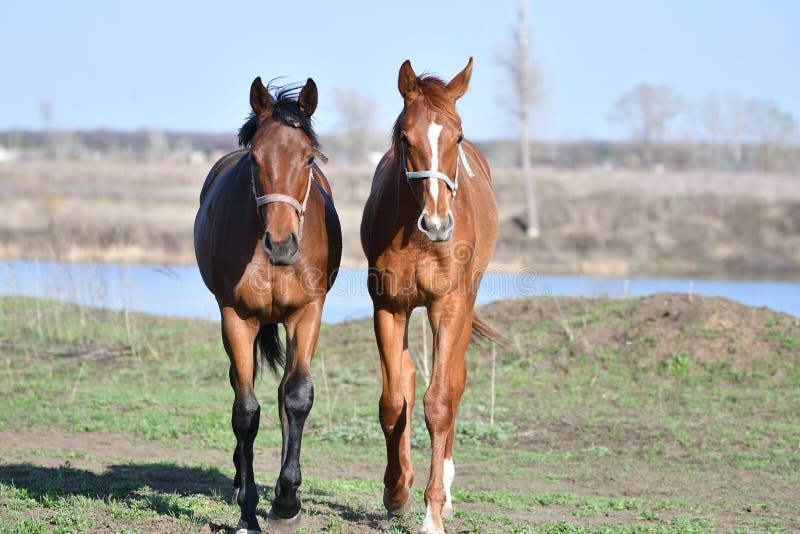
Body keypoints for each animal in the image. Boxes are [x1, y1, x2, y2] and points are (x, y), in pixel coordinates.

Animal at [194, 76, 342, 533]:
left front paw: (286, 502)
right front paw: (248, 512)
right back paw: (242, 482)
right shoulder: (236, 317)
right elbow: (245, 411)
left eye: (308, 157)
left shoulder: (307, 312)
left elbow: (296, 398)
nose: (281, 243)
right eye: (255, 156)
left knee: (281, 396)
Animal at [360, 58, 504, 534]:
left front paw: (433, 512)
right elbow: (394, 401)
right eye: (407, 137)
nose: (438, 222)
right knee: (405, 380)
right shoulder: (389, 307)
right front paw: (396, 493)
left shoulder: (449, 307)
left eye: (456, 135)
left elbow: (440, 401)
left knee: (454, 381)